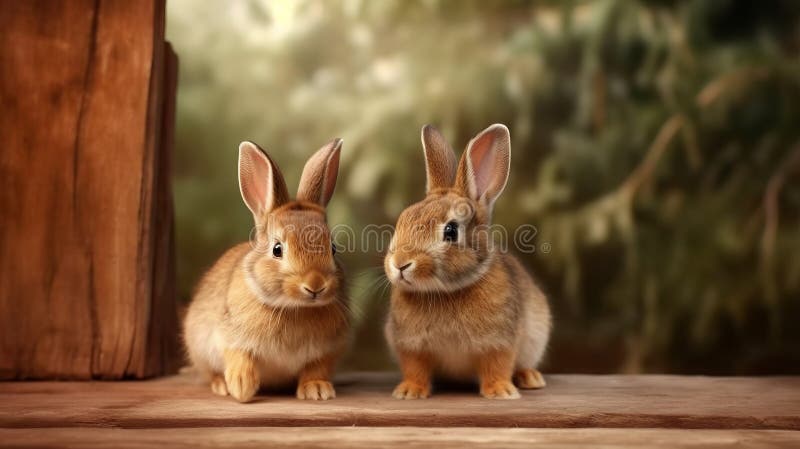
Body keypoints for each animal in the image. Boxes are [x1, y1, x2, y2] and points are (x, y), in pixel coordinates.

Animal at [183, 138, 349, 403]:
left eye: (333, 248)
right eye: (277, 249)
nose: (315, 285)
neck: (294, 308)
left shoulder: (327, 350)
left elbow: (316, 368)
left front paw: (317, 390)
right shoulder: (229, 336)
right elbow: (239, 356)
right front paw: (242, 386)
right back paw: (221, 385)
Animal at [384, 124, 551, 400]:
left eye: (451, 231)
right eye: (403, 219)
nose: (400, 263)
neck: (445, 291)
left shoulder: (500, 341)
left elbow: (498, 365)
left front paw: (500, 391)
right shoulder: (411, 345)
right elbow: (415, 368)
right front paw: (409, 391)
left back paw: (530, 378)